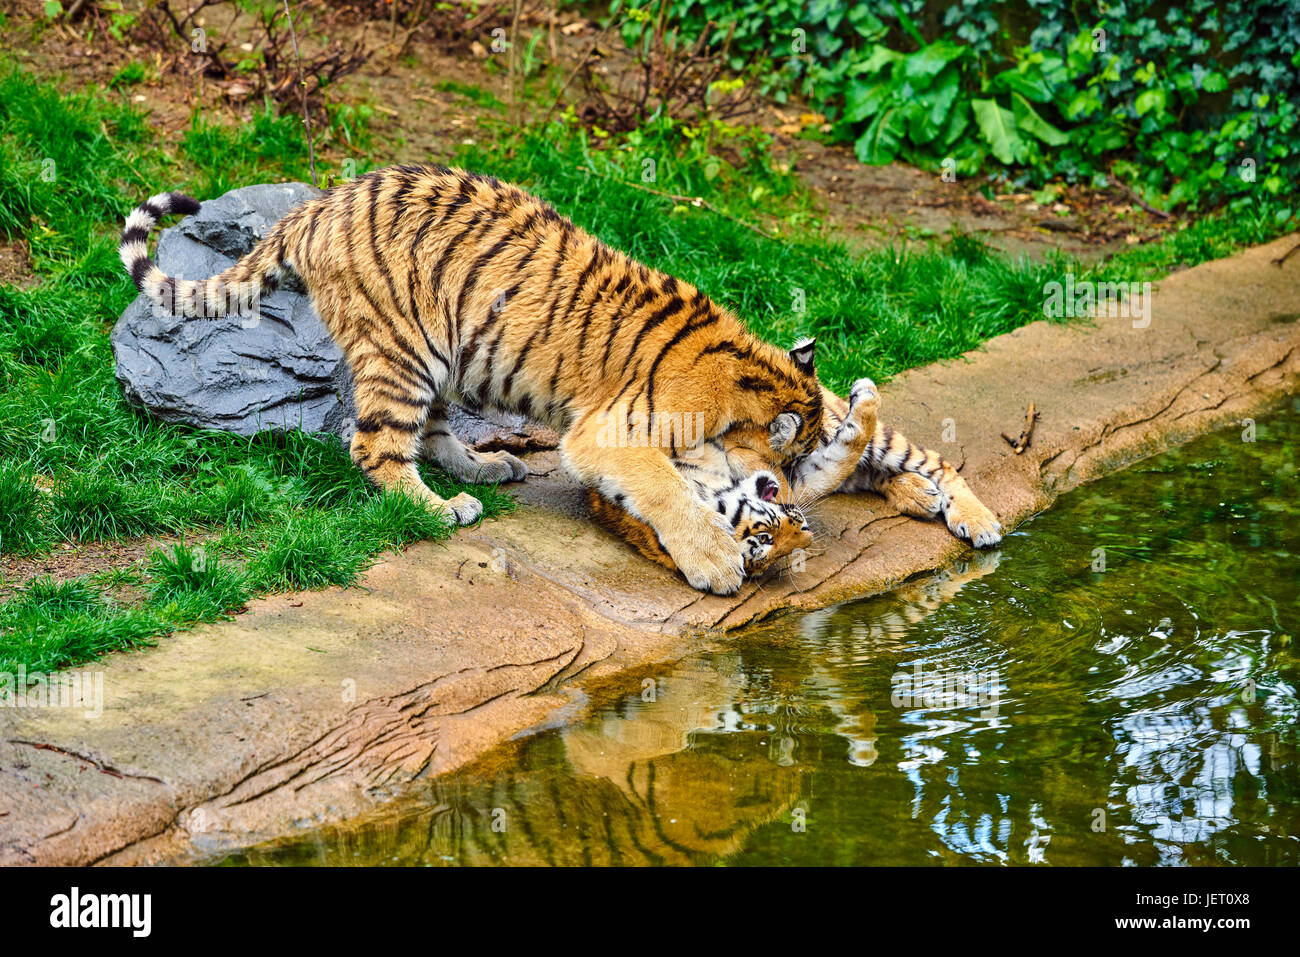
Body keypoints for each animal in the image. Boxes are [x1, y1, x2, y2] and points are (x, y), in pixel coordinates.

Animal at [119, 164, 826, 595]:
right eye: (793, 461)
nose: (796, 502)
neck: (743, 378)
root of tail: (317, 207)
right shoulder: (610, 432)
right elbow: (666, 490)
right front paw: (716, 561)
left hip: (442, 353)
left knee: (430, 432)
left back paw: (485, 468)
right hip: (403, 347)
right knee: (375, 445)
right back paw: (439, 508)